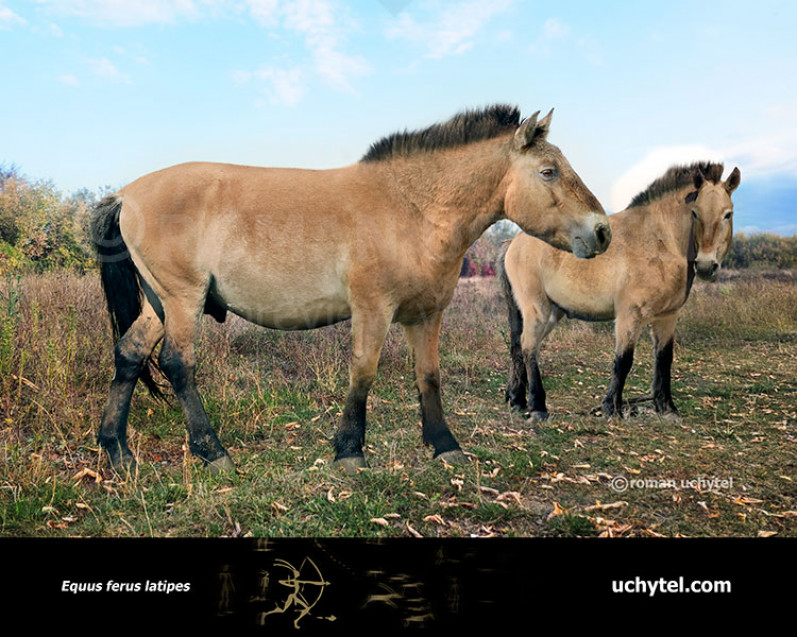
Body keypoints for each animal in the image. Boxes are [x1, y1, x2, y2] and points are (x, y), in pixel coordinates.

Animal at [90, 104, 612, 474]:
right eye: (548, 171)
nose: (603, 231)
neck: (411, 208)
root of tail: (126, 195)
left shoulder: (427, 314)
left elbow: (429, 376)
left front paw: (444, 446)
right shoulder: (372, 309)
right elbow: (362, 372)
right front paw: (349, 452)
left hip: (161, 304)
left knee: (130, 354)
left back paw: (117, 450)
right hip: (183, 300)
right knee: (178, 364)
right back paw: (212, 452)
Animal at [499, 161, 740, 420]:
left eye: (728, 214)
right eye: (695, 213)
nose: (706, 266)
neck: (660, 241)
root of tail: (513, 243)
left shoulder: (667, 317)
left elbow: (664, 359)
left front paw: (667, 408)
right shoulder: (629, 315)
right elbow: (623, 361)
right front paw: (611, 407)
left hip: (548, 313)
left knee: (518, 348)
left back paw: (517, 400)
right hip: (538, 310)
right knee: (529, 348)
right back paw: (538, 407)